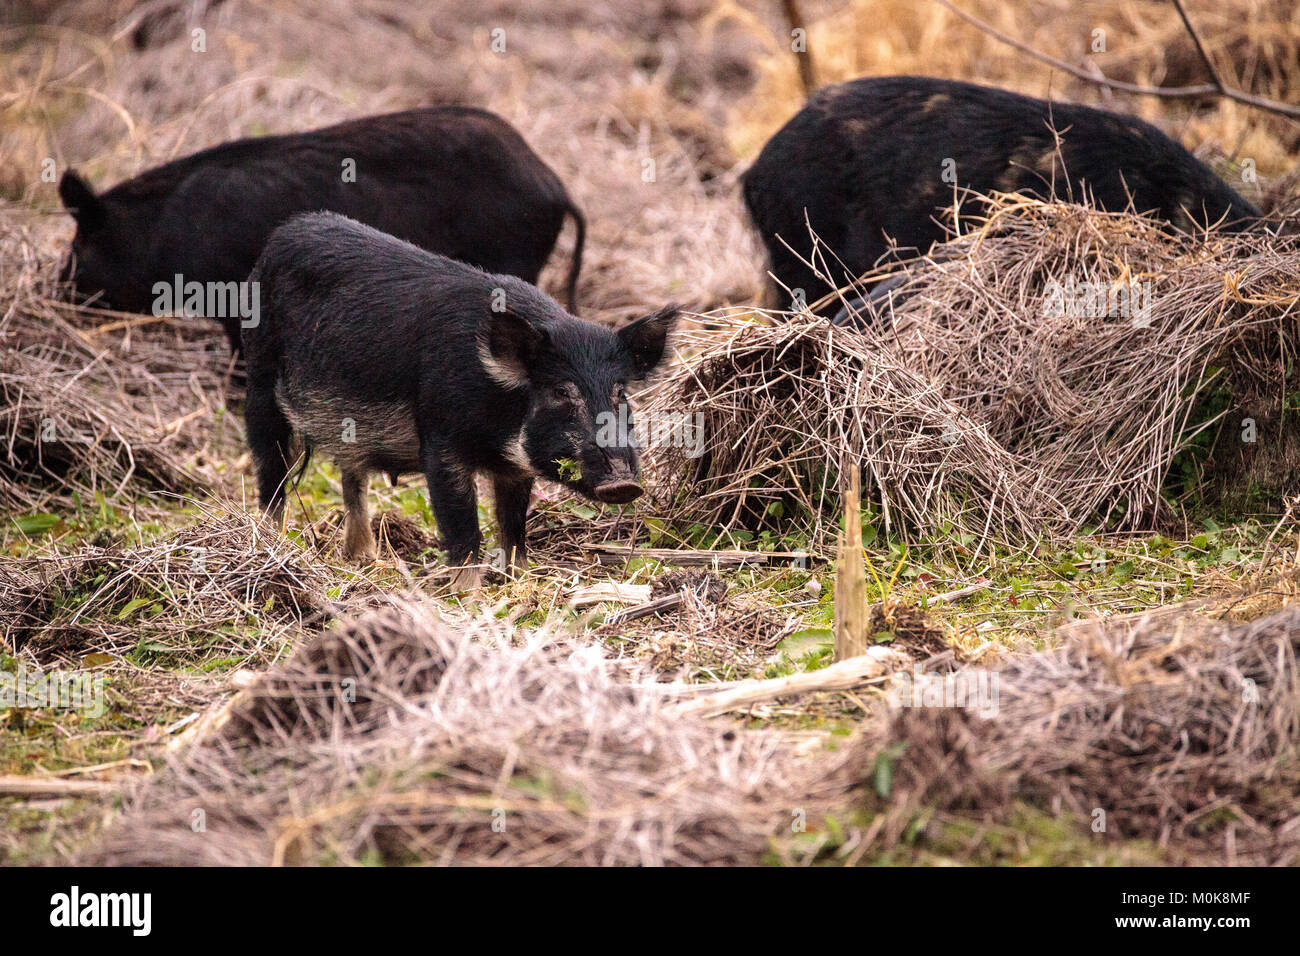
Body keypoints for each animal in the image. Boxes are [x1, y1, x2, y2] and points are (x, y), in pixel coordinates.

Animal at [243, 212, 677, 587]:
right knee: (271, 474)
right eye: (559, 392)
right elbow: (462, 528)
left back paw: (366, 559)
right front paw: (468, 593)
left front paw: (519, 579)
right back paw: (269, 543)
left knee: (353, 477)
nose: (623, 483)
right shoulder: (440, 440)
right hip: (260, 379)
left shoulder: (514, 468)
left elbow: (513, 525)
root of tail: (281, 234)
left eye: (620, 392)